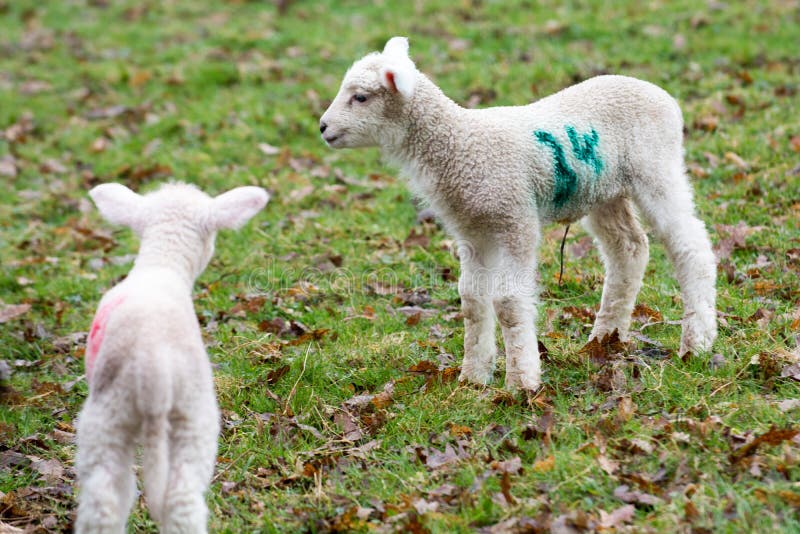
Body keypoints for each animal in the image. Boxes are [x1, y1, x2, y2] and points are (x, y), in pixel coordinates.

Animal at [75, 182, 268, 533]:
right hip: (194, 418)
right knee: (183, 499)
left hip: (107, 417)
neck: (162, 264)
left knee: (105, 498)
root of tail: (156, 369)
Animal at [319, 36, 717, 391]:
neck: (461, 144)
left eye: (361, 97)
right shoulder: (472, 231)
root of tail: (662, 95)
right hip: (604, 190)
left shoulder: (515, 219)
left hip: (657, 169)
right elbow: (472, 300)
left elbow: (509, 302)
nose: (322, 127)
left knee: (691, 247)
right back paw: (605, 339)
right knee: (629, 250)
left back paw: (696, 343)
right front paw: (473, 377)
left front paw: (521, 381)